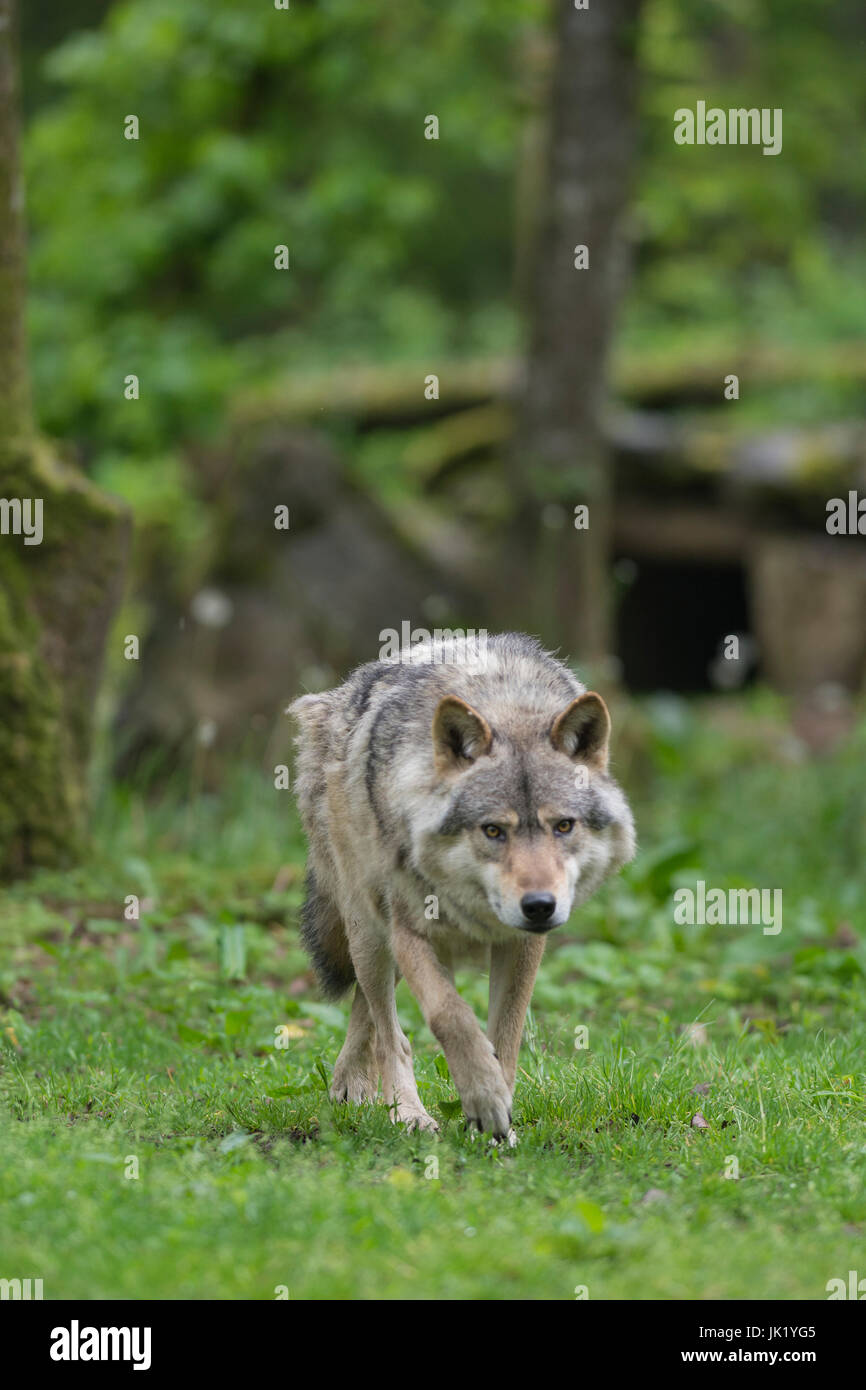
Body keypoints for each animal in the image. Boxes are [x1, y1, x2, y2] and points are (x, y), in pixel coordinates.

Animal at [289, 632, 635, 1139]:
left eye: (563, 826)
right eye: (493, 830)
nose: (539, 905)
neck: (506, 708)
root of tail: (337, 694)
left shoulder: (522, 944)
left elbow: (505, 1034)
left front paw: (498, 1122)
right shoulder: (410, 931)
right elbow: (448, 1016)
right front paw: (483, 1099)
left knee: (367, 1010)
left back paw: (351, 1086)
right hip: (369, 930)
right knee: (387, 1025)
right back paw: (404, 1111)